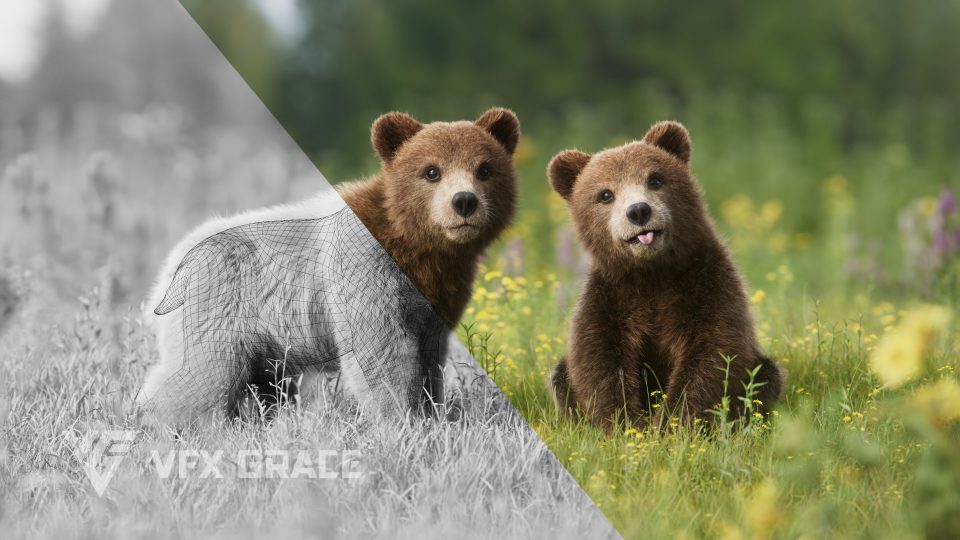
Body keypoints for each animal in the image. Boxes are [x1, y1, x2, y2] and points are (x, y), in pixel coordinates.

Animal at [547, 121, 784, 431]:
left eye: (655, 179)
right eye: (605, 194)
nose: (638, 211)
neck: (652, 273)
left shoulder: (707, 284)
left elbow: (713, 352)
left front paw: (671, 422)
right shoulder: (610, 297)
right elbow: (598, 359)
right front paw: (624, 423)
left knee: (765, 378)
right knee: (561, 377)